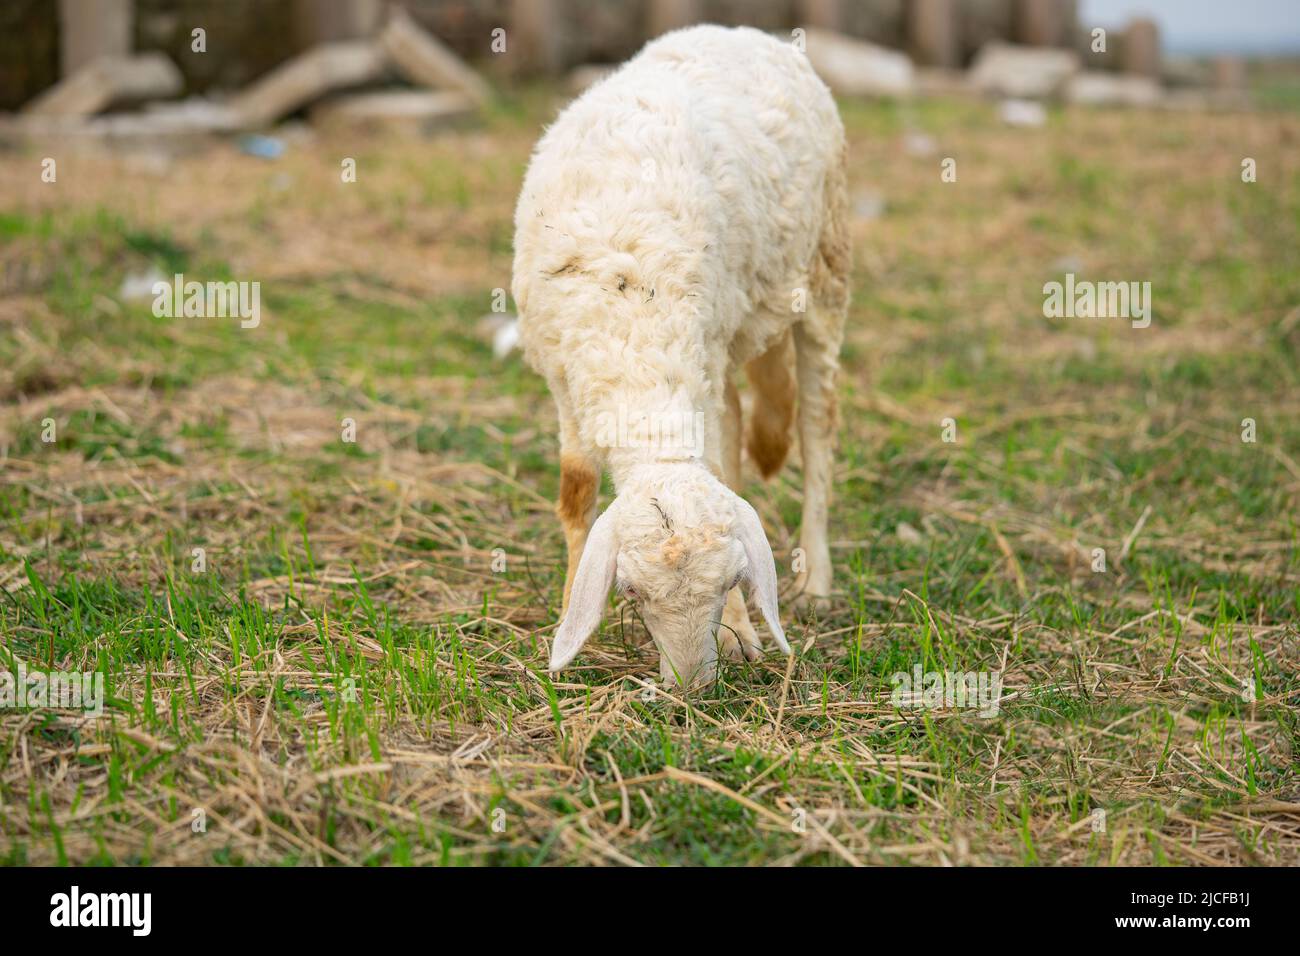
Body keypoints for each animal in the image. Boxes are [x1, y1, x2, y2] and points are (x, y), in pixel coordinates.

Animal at [511, 24, 850, 688]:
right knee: (745, 419)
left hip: (826, 267)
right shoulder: (562, 377)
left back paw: (817, 580)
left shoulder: (704, 357)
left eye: (732, 582)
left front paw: (743, 633)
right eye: (631, 593)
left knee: (816, 427)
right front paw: (567, 613)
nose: (692, 687)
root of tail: (743, 32)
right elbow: (577, 489)